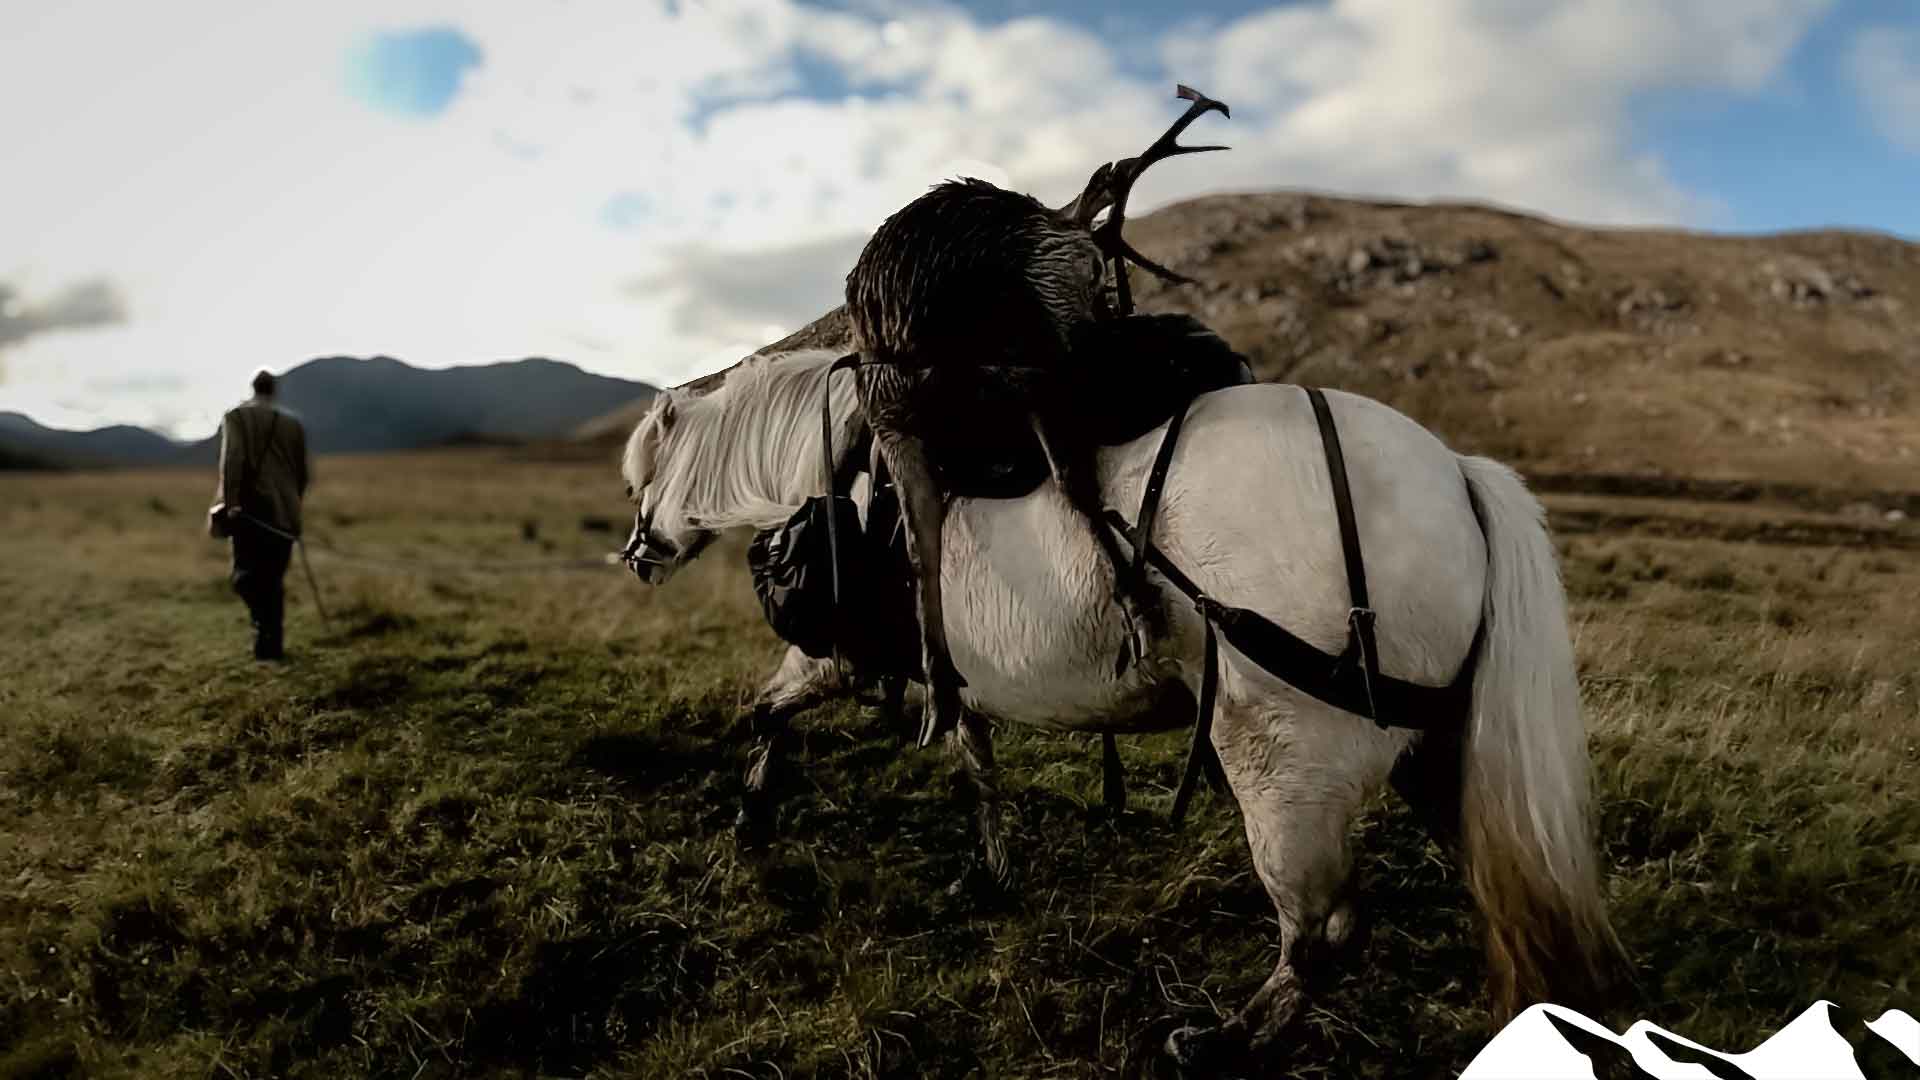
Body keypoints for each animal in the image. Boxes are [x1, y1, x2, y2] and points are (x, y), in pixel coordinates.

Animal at [616, 347, 1623, 1063]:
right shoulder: (952, 682)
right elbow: (977, 769)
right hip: (1438, 749)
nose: (636, 556)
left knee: (1323, 928)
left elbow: (768, 710)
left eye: (640, 480)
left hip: (1284, 761)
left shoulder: (843, 656)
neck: (847, 474)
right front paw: (992, 871)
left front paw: (751, 820)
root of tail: (1454, 474)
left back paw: (1223, 1042)